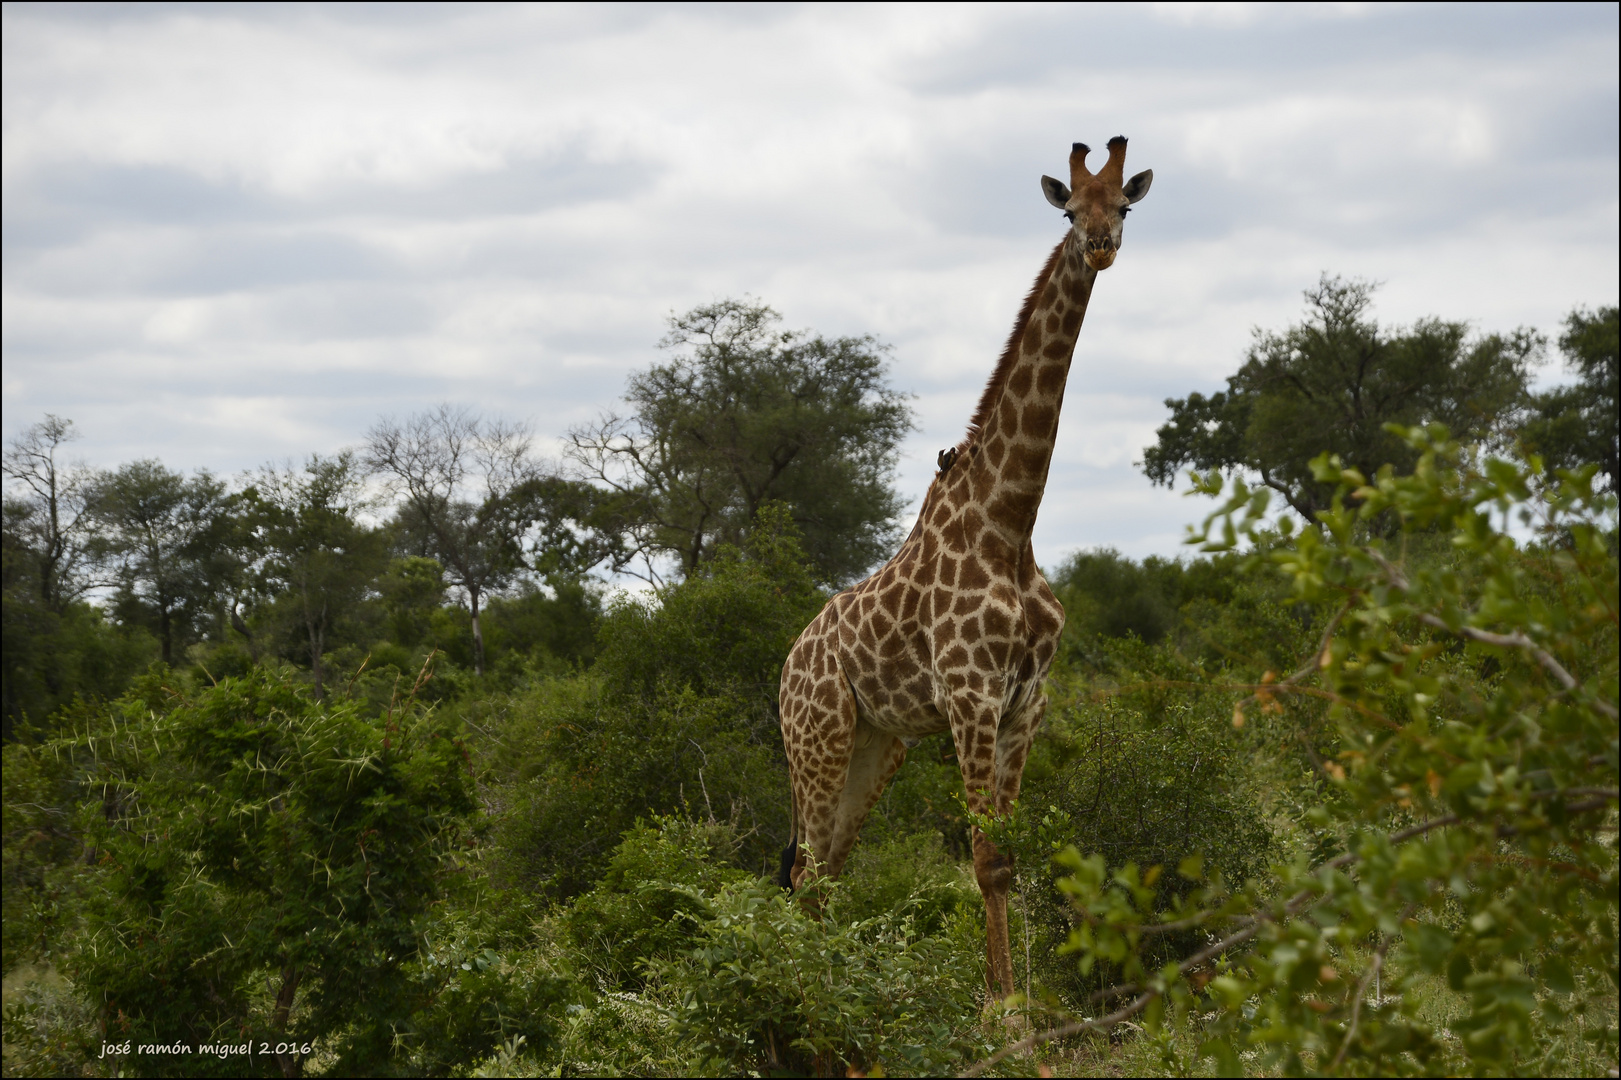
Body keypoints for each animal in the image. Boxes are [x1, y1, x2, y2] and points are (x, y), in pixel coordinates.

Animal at [777, 137, 1152, 1001]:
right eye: (1066, 210)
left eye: (1123, 204)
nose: (1099, 246)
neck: (1009, 523)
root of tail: (786, 665)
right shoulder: (970, 696)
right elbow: (983, 861)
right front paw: (1000, 1012)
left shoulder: (1026, 703)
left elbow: (1008, 860)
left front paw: (1015, 1003)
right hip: (816, 737)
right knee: (806, 872)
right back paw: (802, 996)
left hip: (878, 744)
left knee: (828, 871)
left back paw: (828, 991)